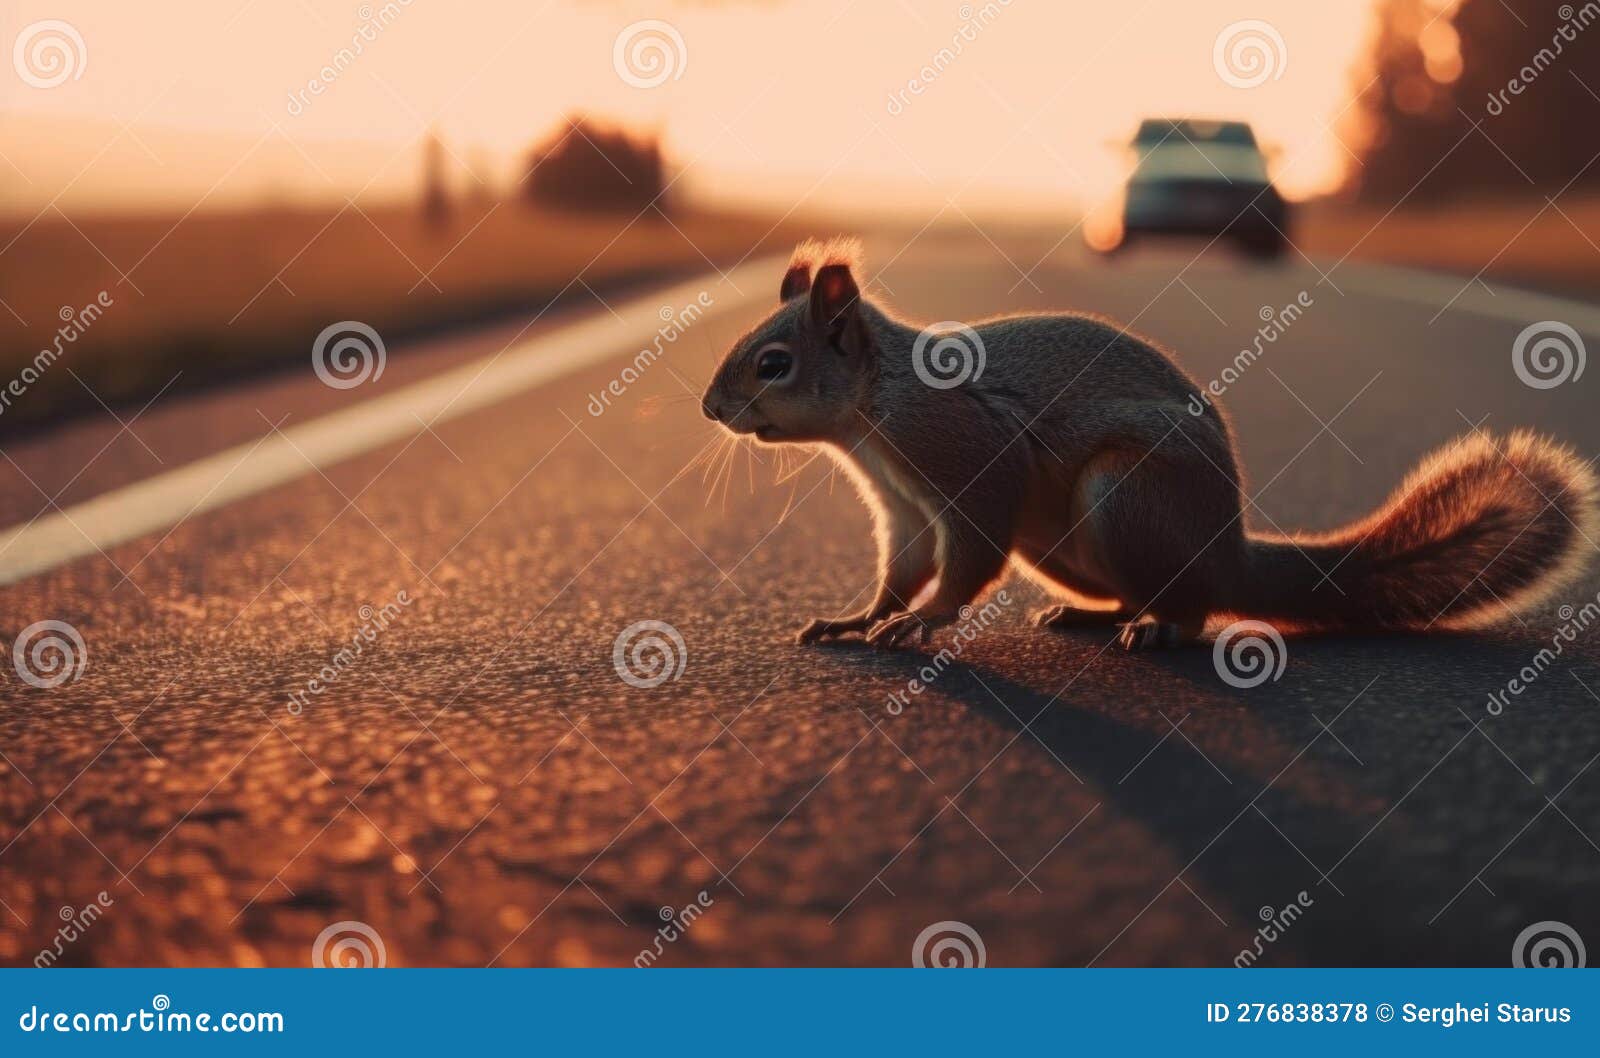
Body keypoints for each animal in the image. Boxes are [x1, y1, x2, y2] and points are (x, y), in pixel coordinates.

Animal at [700, 238, 1599, 651]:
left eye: (774, 363)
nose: (709, 409)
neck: (873, 411)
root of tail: (1231, 549)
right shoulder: (902, 501)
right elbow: (905, 564)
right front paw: (859, 618)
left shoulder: (967, 454)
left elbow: (967, 557)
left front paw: (926, 621)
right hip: (1056, 541)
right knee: (1141, 594)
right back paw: (1097, 615)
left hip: (1124, 493)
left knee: (1195, 609)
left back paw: (1163, 630)